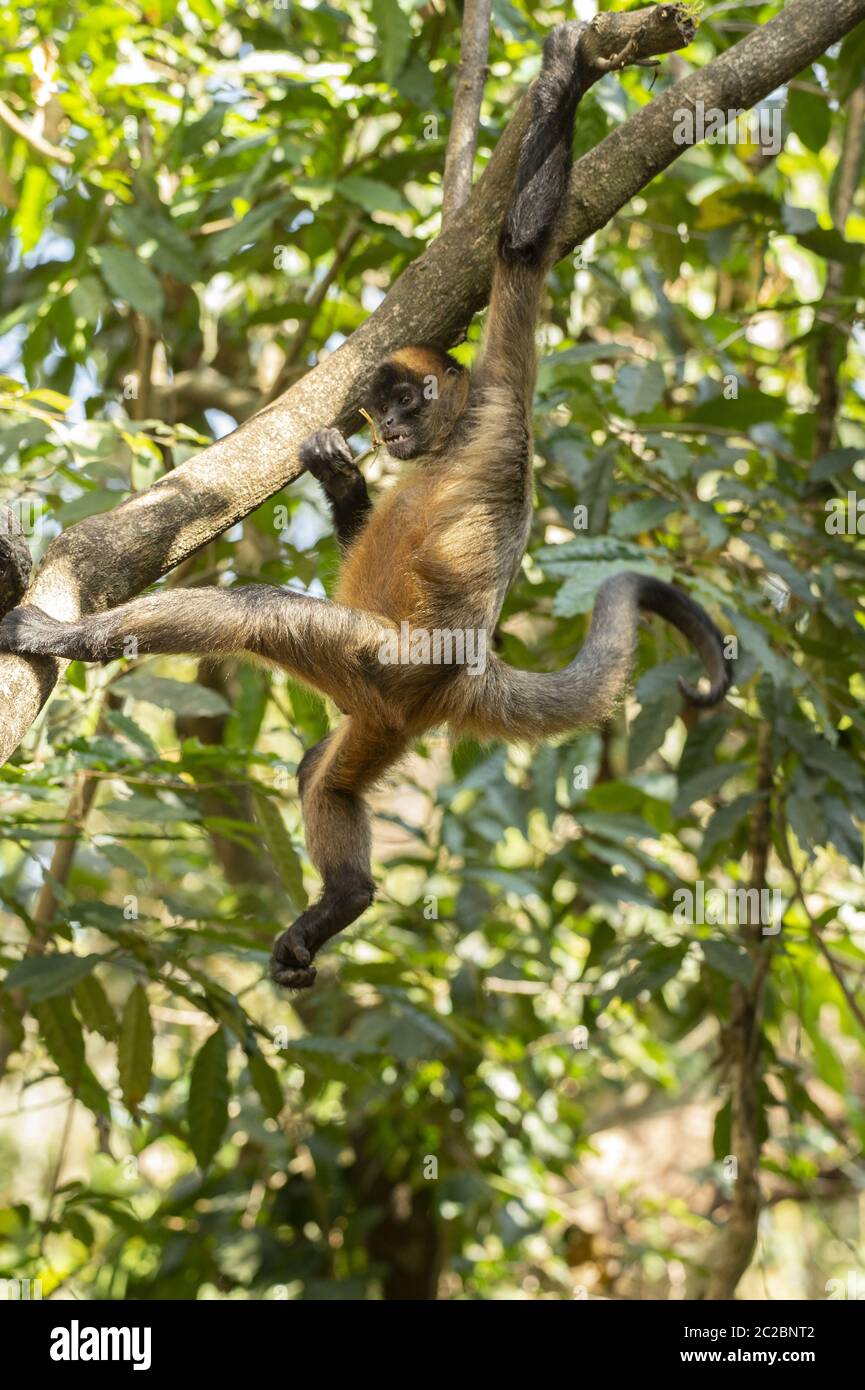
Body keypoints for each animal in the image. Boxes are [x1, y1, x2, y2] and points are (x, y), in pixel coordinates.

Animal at [0, 11, 729, 992]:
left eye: (405, 402)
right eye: (379, 411)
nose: (387, 434)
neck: (452, 435)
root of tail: (471, 671)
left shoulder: (500, 400)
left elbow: (521, 248)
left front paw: (563, 71)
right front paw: (339, 477)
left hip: (383, 664)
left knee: (258, 616)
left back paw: (61, 637)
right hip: (382, 712)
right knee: (327, 771)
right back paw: (344, 897)